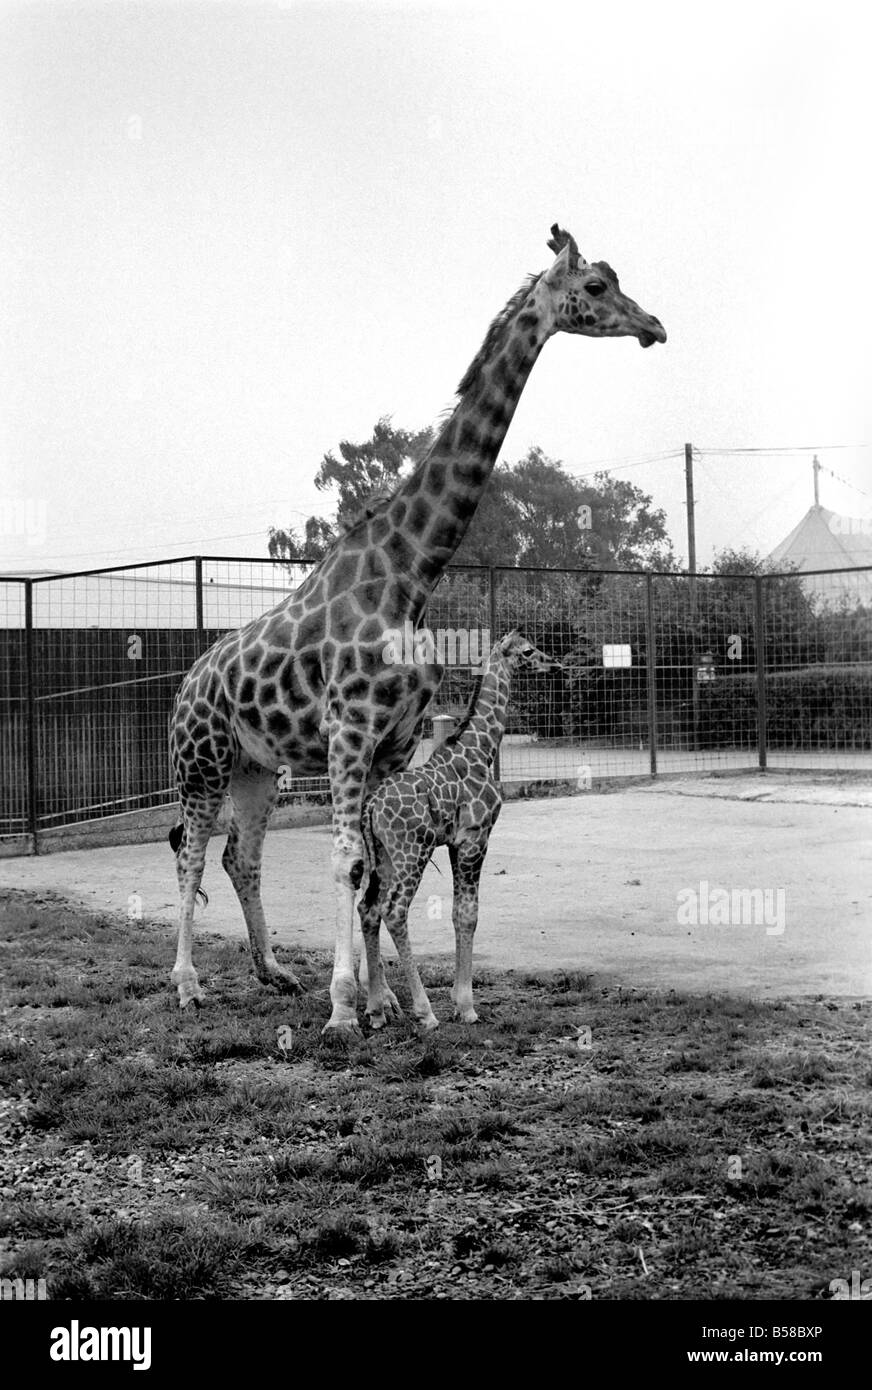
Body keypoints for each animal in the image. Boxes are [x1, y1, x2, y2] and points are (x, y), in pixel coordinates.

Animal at [358, 631, 561, 1032]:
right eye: (528, 651)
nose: (554, 664)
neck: (481, 749)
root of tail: (371, 807)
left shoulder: (454, 843)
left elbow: (456, 913)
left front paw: (458, 998)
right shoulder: (475, 838)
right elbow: (469, 914)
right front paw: (466, 1007)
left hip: (383, 855)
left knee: (368, 908)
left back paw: (376, 1011)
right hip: (412, 852)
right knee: (393, 910)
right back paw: (424, 1013)